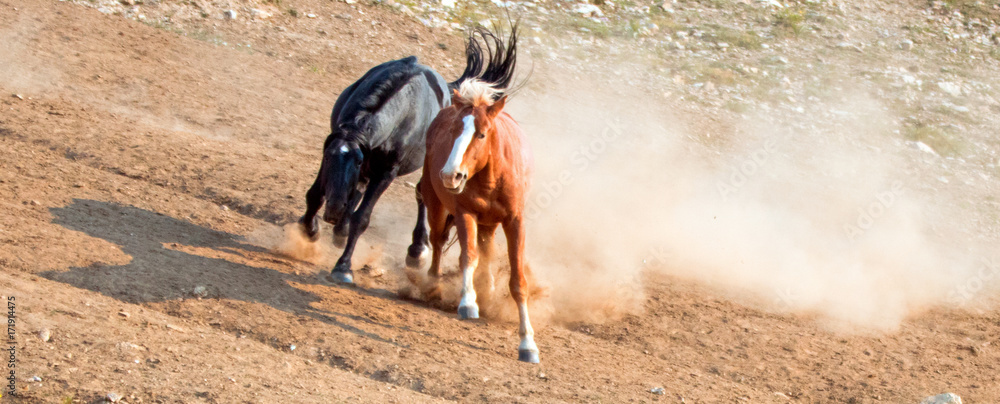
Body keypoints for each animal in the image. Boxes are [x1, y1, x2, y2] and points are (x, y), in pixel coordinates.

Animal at [297, 27, 518, 284]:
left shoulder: (386, 172)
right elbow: (315, 195)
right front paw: (309, 229)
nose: (333, 210)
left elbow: (362, 218)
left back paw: (416, 249)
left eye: (358, 160)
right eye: (328, 158)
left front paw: (343, 267)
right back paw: (341, 229)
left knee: (422, 193)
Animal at [410, 29, 540, 363]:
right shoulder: (465, 213)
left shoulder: (515, 222)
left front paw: (528, 344)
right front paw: (468, 302)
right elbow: (467, 255)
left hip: (489, 224)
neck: (493, 177)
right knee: (439, 241)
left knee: (483, 250)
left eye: (481, 134)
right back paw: (434, 286)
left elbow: (518, 281)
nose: (450, 175)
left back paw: (486, 288)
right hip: (437, 206)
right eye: (454, 130)